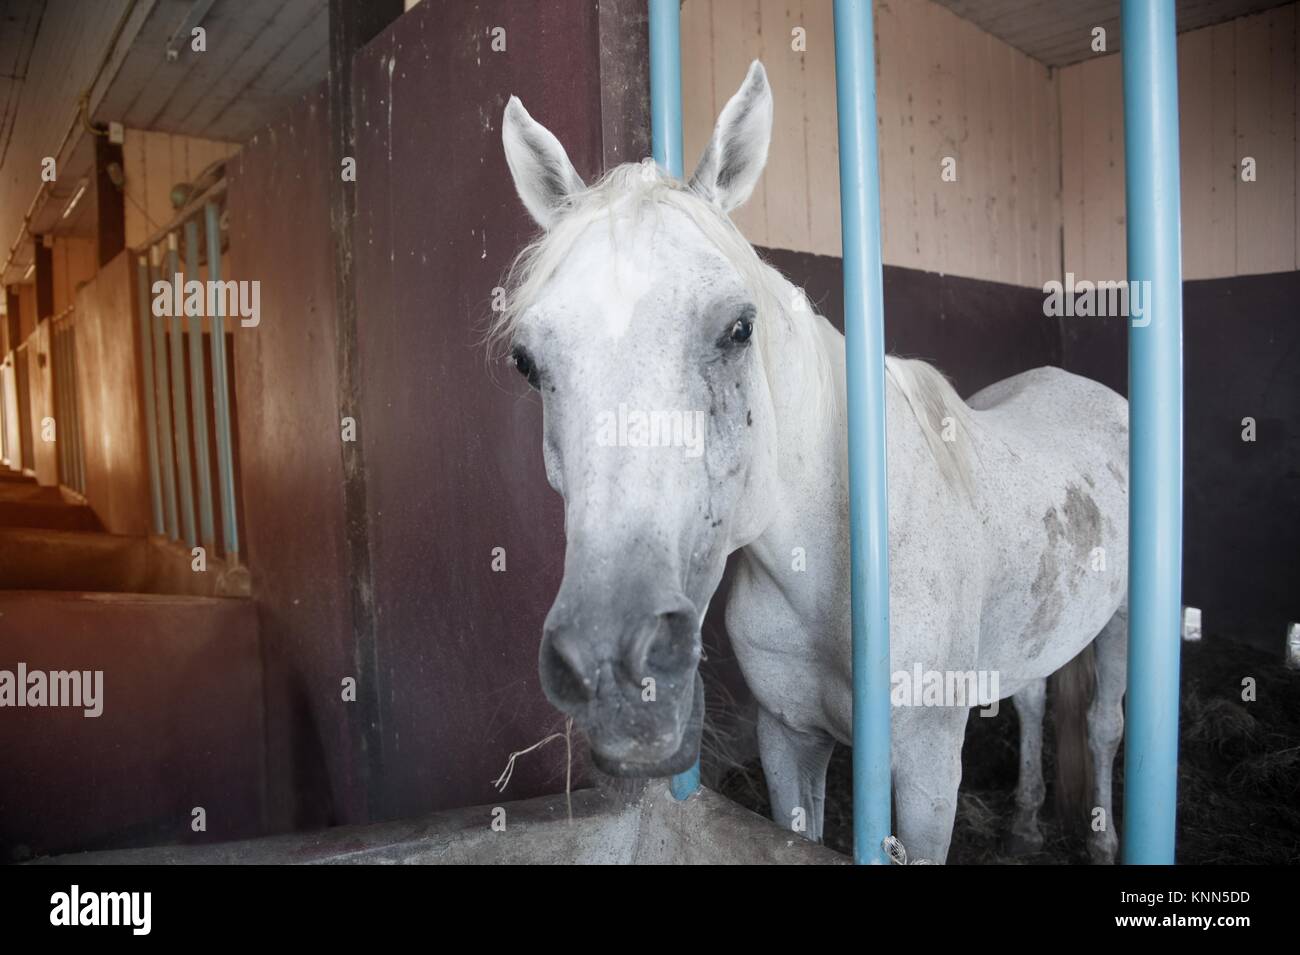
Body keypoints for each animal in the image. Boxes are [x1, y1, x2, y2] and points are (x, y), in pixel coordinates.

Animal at [494, 60, 1130, 864]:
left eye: (739, 329)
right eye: (526, 361)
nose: (613, 663)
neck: (828, 569)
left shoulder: (926, 769)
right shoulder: (787, 739)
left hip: (1120, 621)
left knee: (1104, 724)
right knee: (1037, 698)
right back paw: (1024, 821)